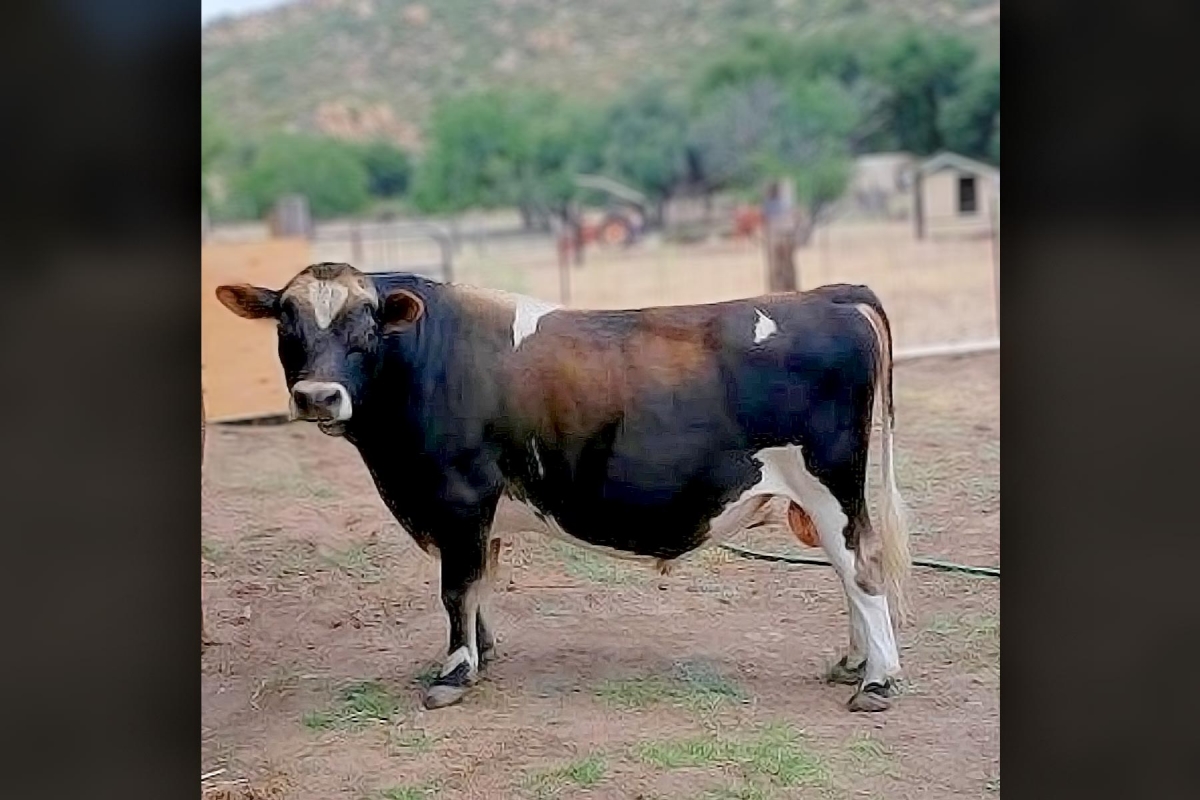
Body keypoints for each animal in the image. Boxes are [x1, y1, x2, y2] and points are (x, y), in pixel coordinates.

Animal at [215, 263, 911, 712]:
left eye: (365, 325)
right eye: (285, 323)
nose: (317, 396)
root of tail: (826, 295)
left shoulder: (459, 498)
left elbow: (455, 588)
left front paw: (455, 672)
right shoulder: (473, 517)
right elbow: (478, 585)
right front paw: (482, 652)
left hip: (830, 485)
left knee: (863, 567)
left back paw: (877, 681)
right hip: (818, 498)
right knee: (846, 572)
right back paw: (853, 661)